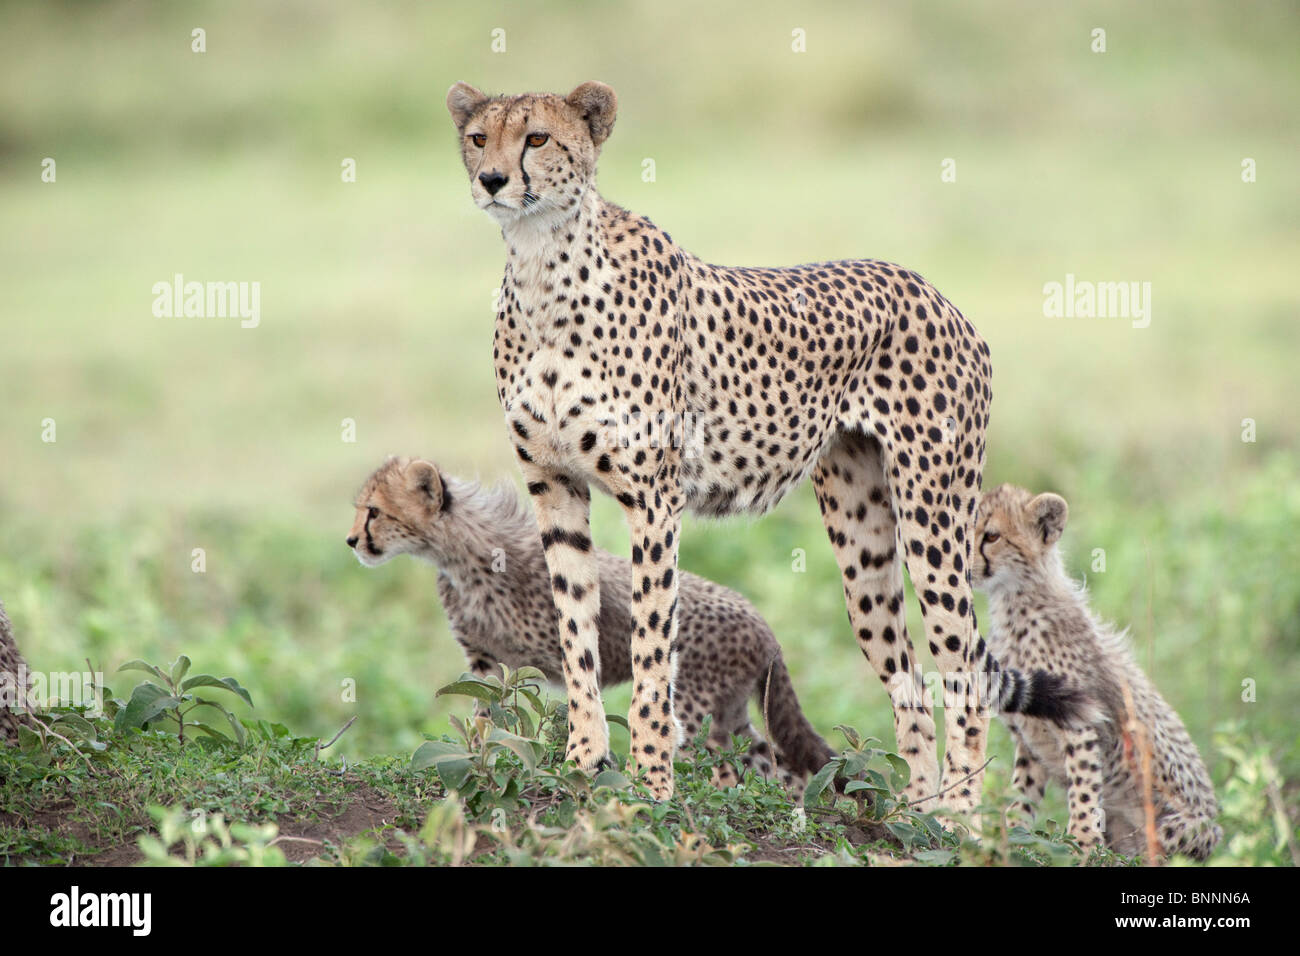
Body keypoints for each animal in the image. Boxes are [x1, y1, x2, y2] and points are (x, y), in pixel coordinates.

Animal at [347, 455, 836, 795]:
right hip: (731, 711)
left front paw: (584, 764)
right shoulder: (486, 663)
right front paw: (477, 756)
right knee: (769, 759)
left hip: (695, 709)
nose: (352, 540)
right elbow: (485, 716)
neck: (456, 555)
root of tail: (762, 624)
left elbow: (572, 706)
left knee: (721, 762)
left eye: (374, 511)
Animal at [445, 80, 1085, 803]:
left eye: (537, 138)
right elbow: (574, 629)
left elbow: (650, 648)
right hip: (862, 539)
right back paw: (914, 812)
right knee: (911, 685)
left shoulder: (654, 498)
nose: (493, 179)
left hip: (933, 514)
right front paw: (585, 760)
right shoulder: (556, 487)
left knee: (965, 678)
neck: (542, 267)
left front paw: (650, 783)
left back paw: (955, 819)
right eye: (479, 138)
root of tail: (931, 290)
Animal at [973, 483, 1222, 860]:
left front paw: (1082, 842)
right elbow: (1022, 793)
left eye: (991, 536)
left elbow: (1084, 788)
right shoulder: (1030, 736)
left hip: (1193, 828)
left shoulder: (1081, 721)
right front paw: (1013, 834)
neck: (1014, 603)